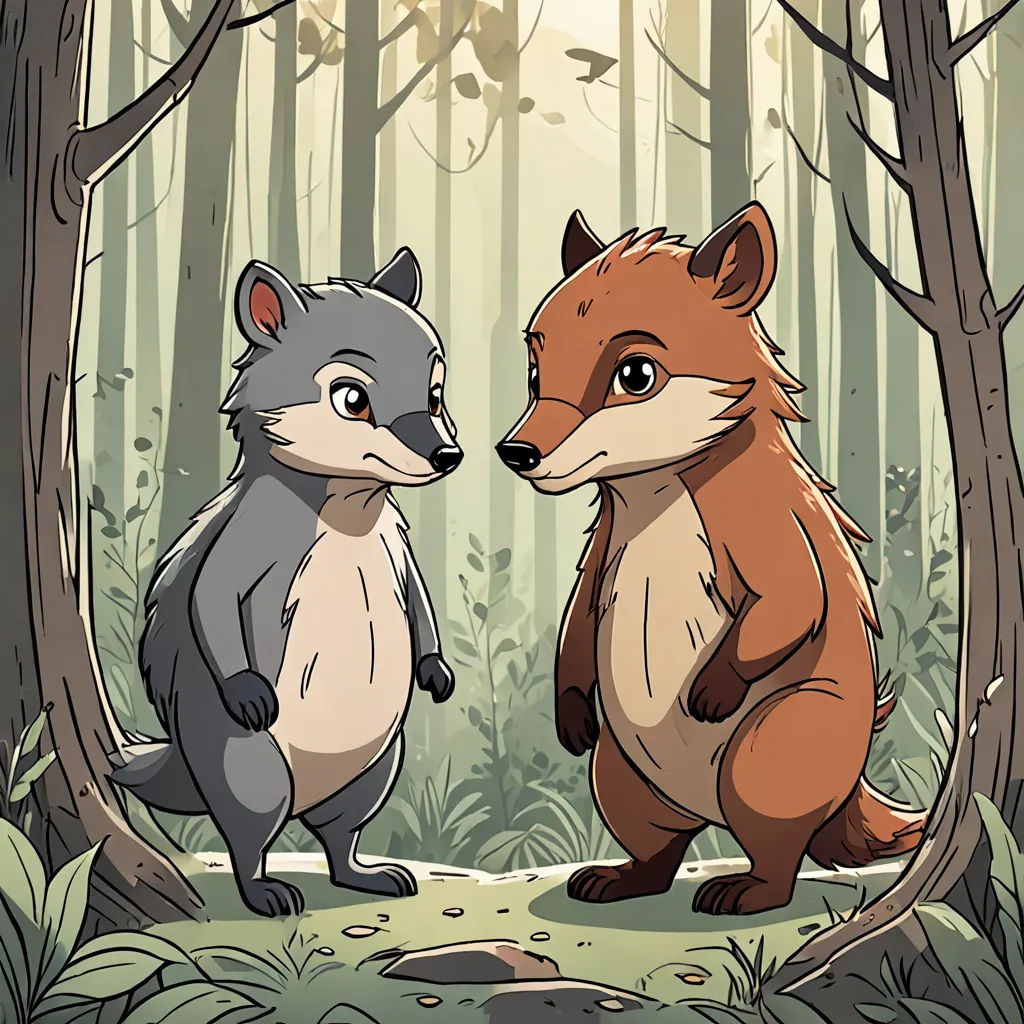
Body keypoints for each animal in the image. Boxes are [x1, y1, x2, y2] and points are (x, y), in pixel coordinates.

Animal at [110, 248, 461, 917]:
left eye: (435, 394)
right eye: (351, 398)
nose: (447, 455)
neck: (348, 507)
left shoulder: (398, 547)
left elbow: (421, 605)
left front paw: (436, 671)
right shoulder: (248, 541)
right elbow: (211, 599)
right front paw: (248, 691)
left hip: (377, 766)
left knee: (340, 836)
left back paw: (366, 874)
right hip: (252, 767)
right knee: (248, 835)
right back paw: (264, 891)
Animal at [496, 202, 927, 915]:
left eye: (635, 374)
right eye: (534, 374)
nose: (517, 452)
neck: (656, 488)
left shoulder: (766, 528)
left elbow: (792, 602)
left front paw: (712, 688)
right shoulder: (601, 551)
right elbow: (577, 626)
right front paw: (569, 711)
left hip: (768, 752)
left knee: (778, 851)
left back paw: (746, 890)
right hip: (620, 773)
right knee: (662, 847)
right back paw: (619, 880)